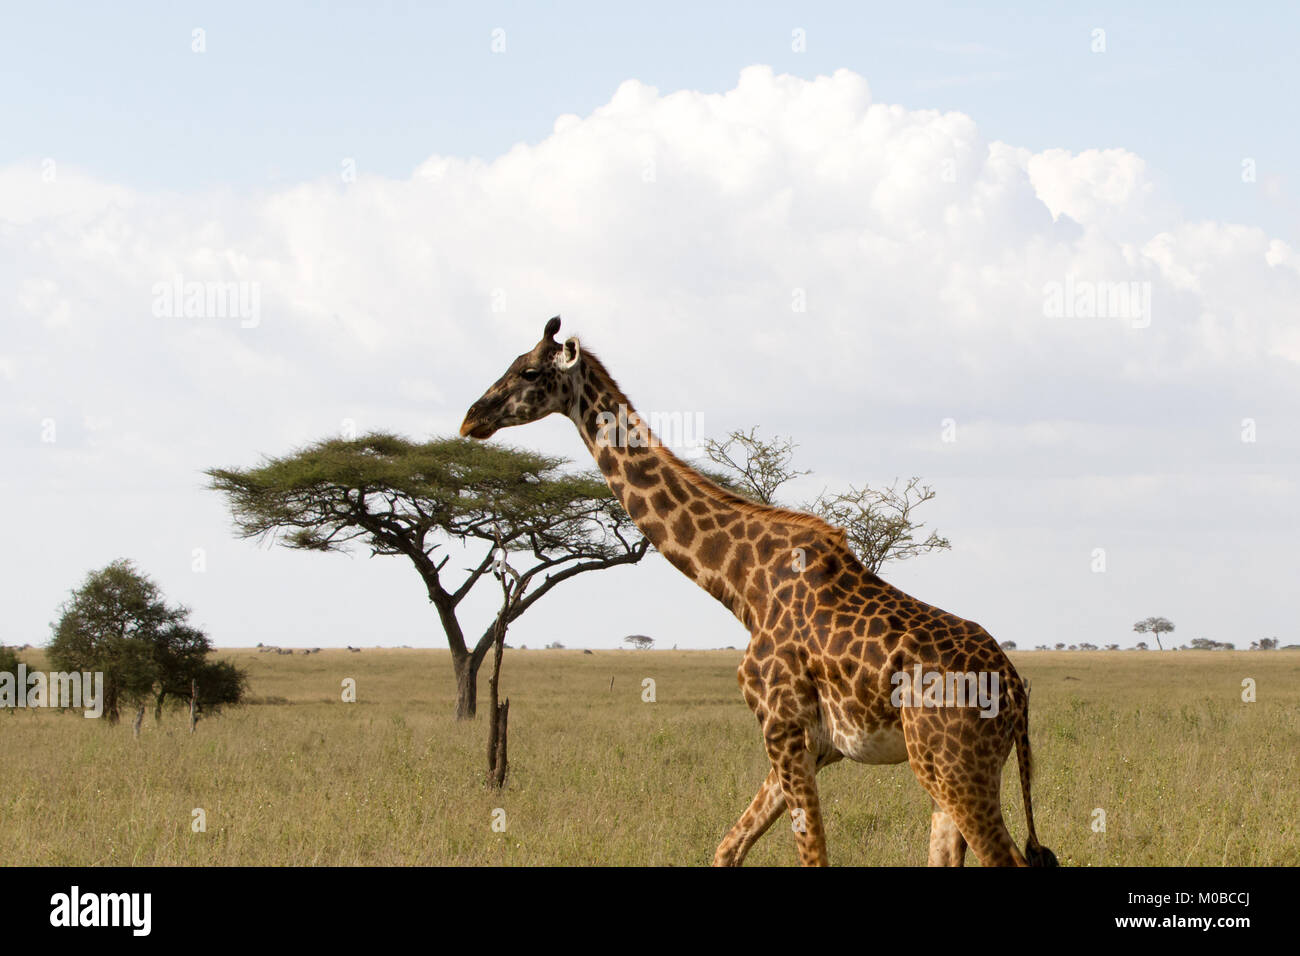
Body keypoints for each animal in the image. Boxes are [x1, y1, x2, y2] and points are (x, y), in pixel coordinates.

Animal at [460, 317, 1058, 868]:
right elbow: (726, 849)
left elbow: (812, 855)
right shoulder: (808, 746)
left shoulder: (783, 728)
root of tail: (1015, 689)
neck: (743, 585)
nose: (472, 418)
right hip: (942, 771)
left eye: (528, 371)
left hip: (957, 768)